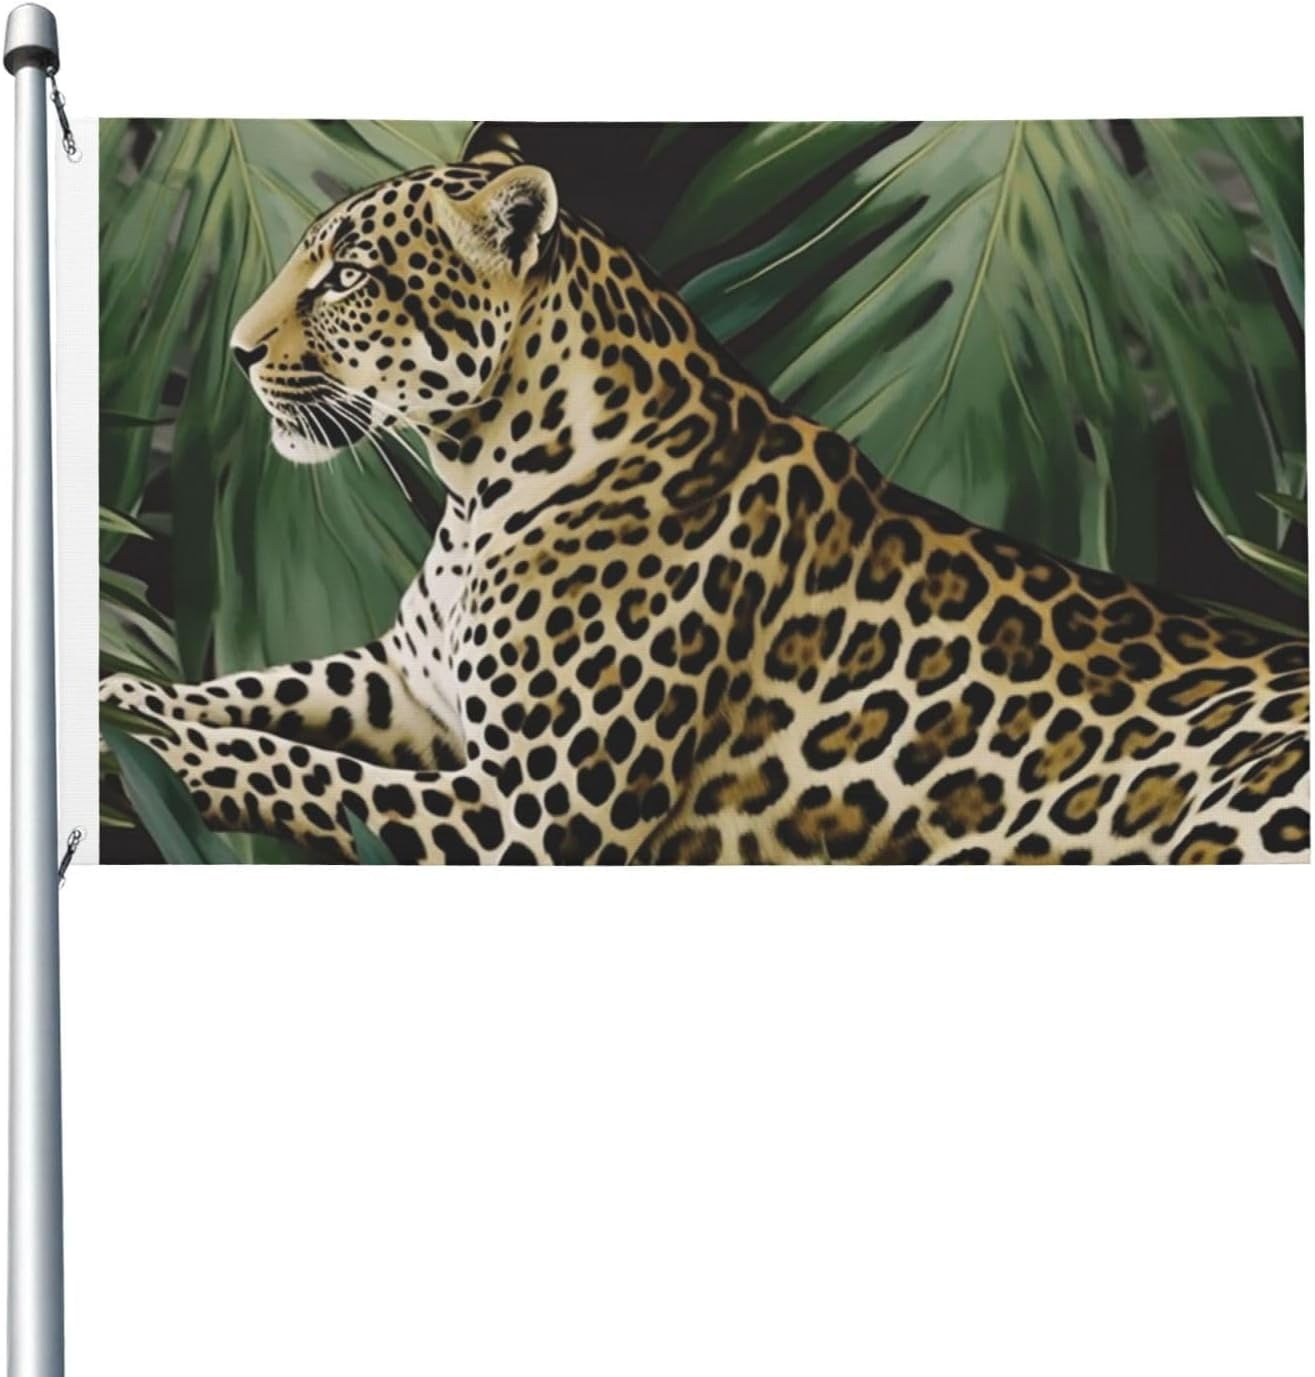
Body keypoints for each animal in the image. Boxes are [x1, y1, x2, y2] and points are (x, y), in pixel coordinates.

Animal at [100, 133, 1311, 865]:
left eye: (349, 277)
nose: (236, 350)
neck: (481, 484)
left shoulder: (536, 816)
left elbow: (301, 765)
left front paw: (176, 757)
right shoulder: (410, 688)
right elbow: (254, 690)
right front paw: (124, 696)